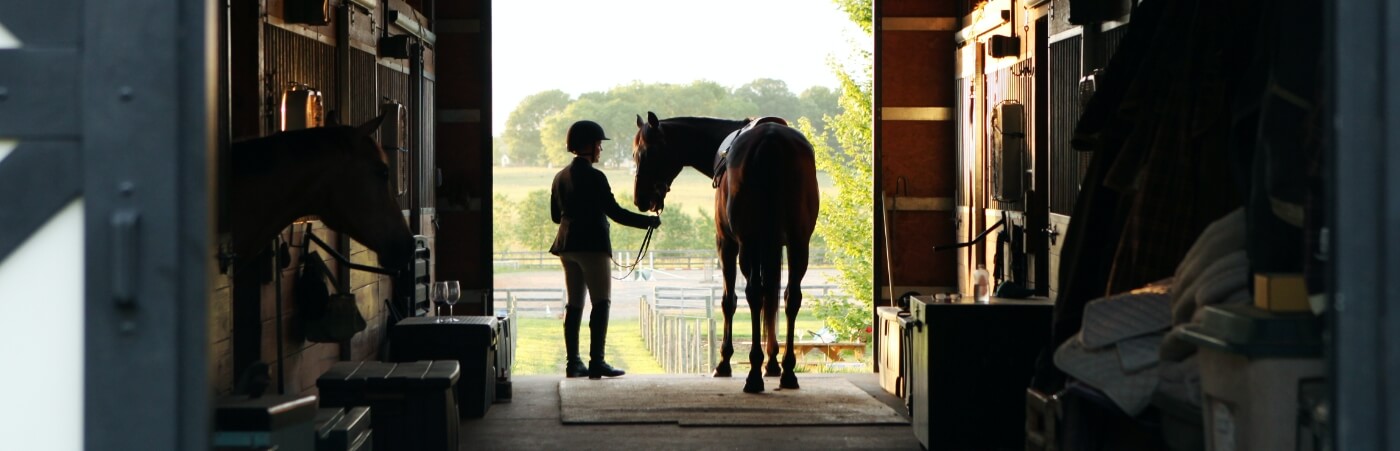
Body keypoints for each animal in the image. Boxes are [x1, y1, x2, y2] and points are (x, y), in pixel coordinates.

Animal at [632, 111, 820, 393]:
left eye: (646, 152)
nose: (640, 199)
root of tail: (772, 140)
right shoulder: (773, 246)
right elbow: (771, 297)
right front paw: (772, 363)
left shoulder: (727, 244)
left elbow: (729, 300)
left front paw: (724, 362)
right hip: (799, 244)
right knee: (790, 298)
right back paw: (787, 371)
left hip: (748, 244)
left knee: (753, 295)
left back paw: (753, 375)